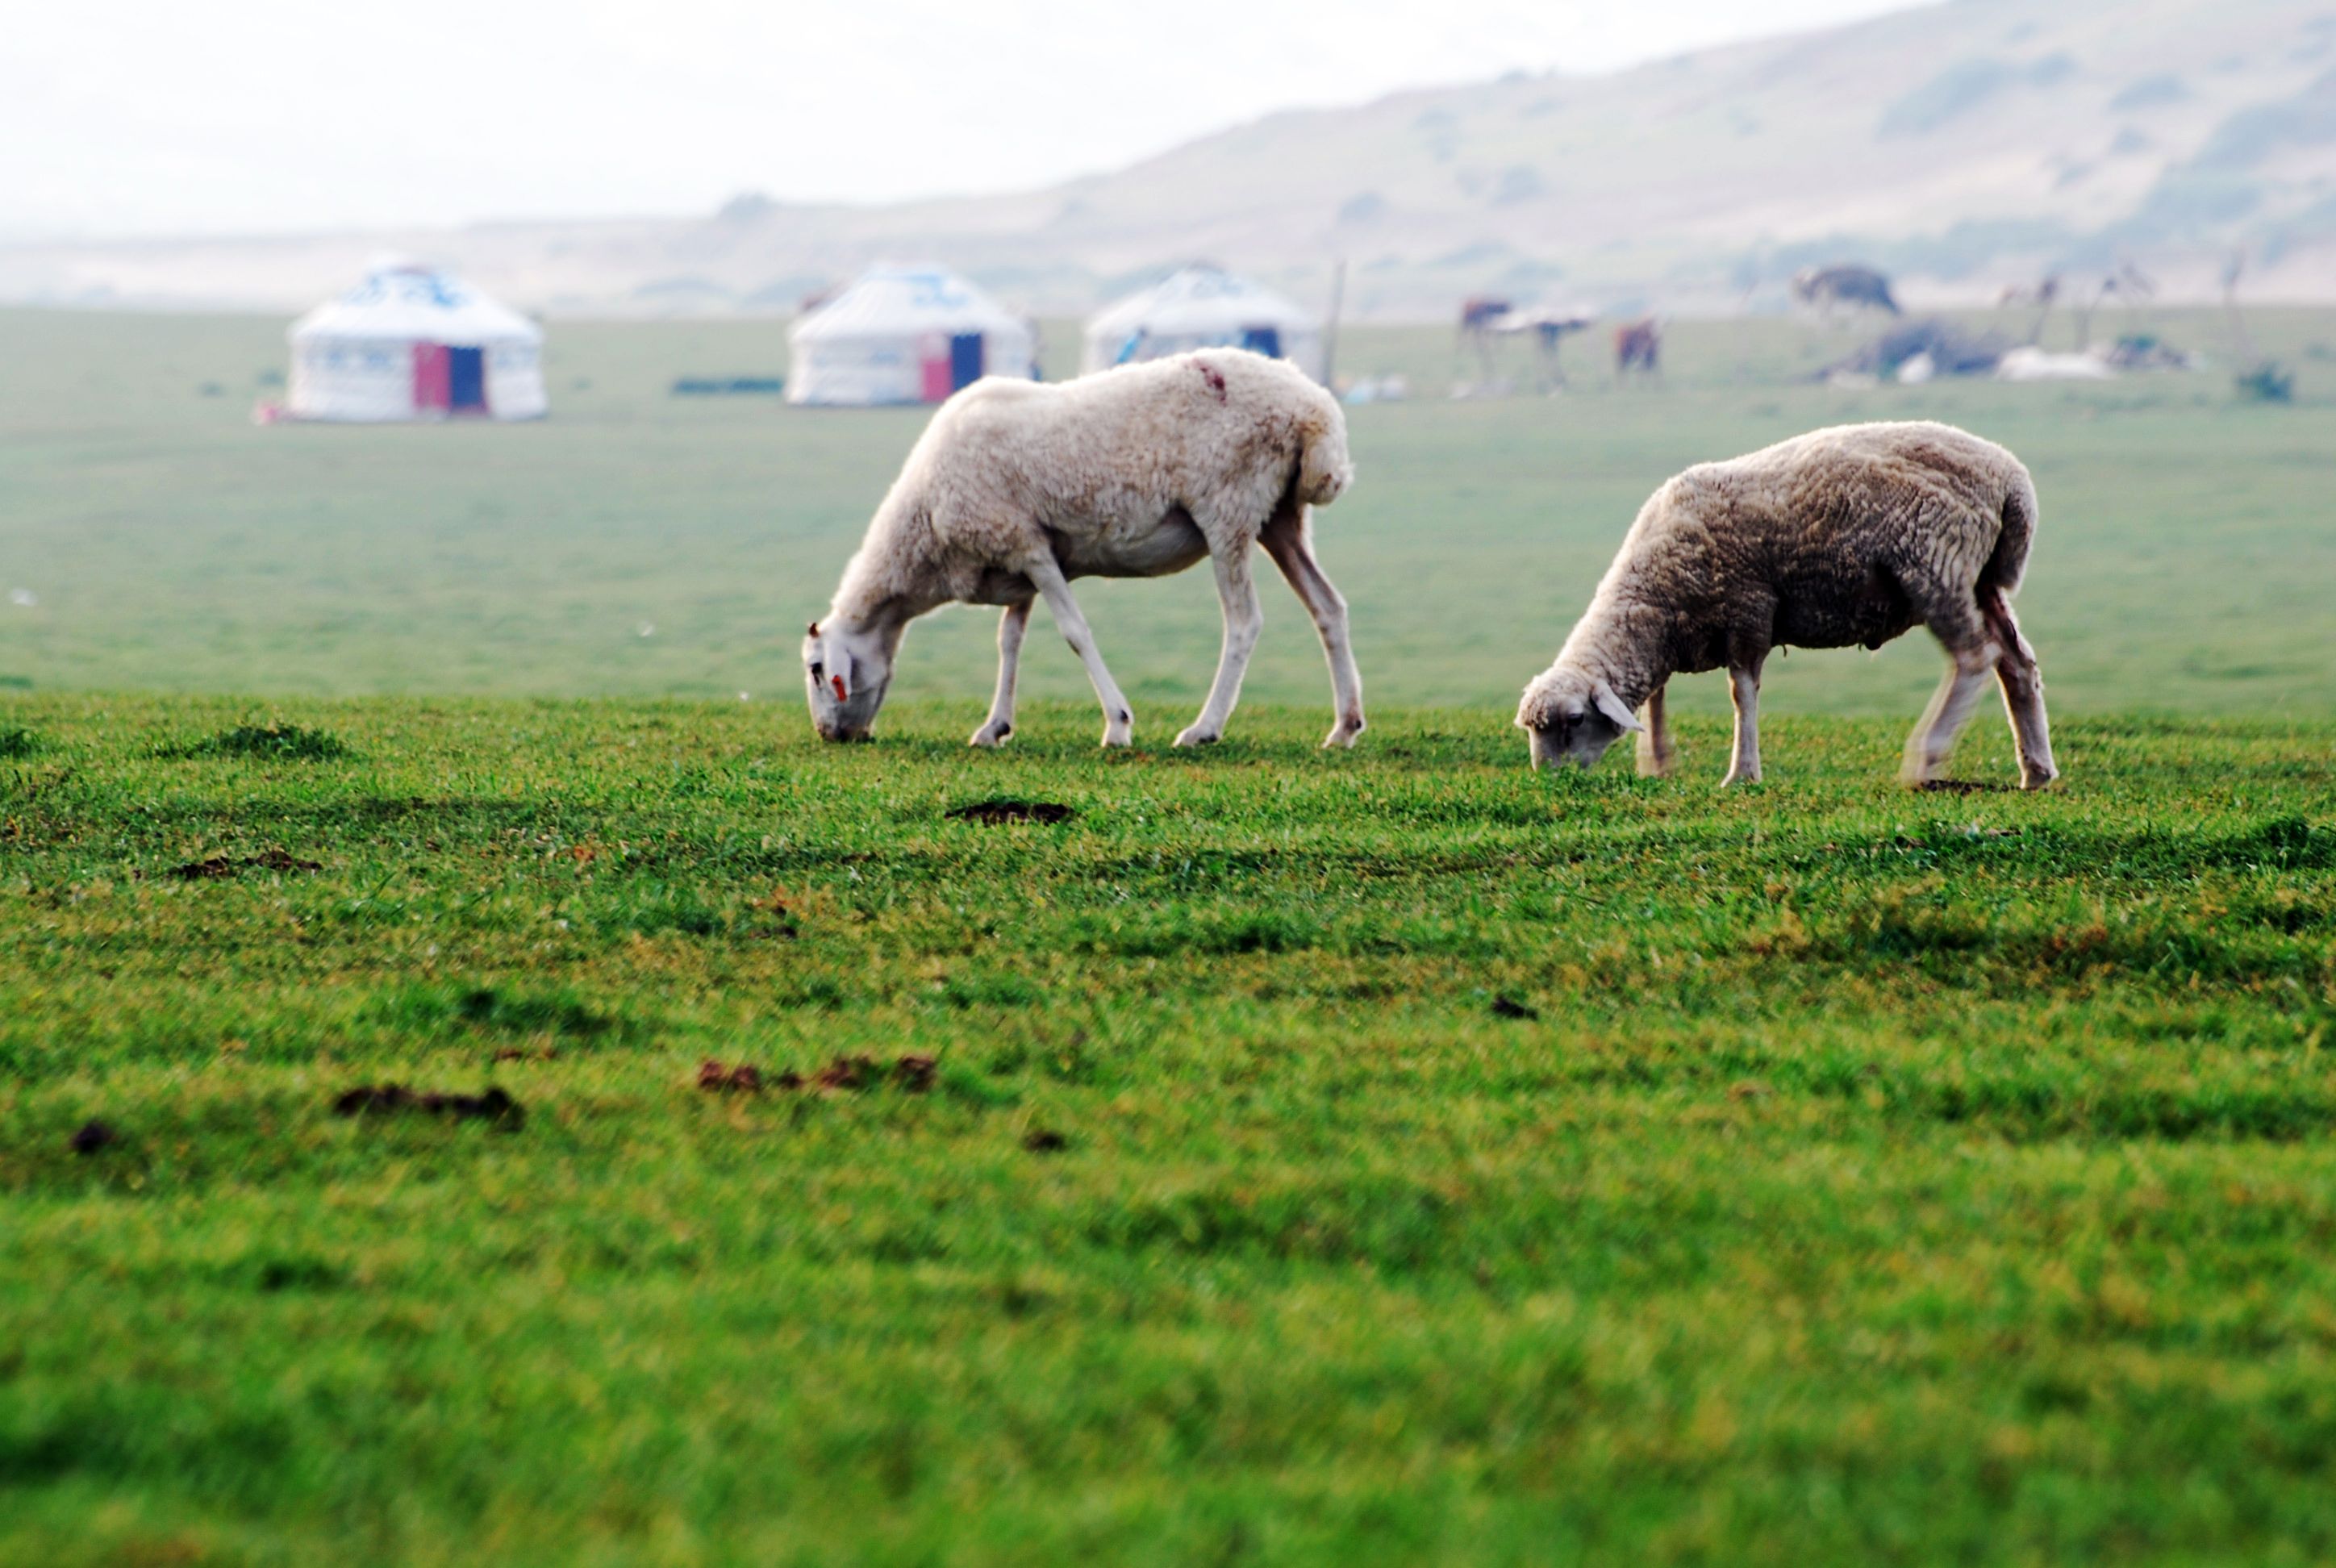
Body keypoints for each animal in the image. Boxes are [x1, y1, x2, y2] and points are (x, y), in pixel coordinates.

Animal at [802, 348, 1363, 750]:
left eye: (816, 670)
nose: (828, 736)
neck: (923, 534)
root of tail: (1315, 410)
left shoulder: (1025, 545)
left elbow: (1074, 632)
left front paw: (1117, 725)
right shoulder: (1019, 555)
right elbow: (1009, 641)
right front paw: (994, 727)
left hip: (1229, 510)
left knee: (1244, 623)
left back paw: (1204, 729)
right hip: (1280, 519)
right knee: (1328, 607)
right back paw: (1344, 727)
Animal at [1515, 420, 2058, 790]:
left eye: (1574, 721)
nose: (1550, 781)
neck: (1653, 596)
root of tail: (2011, 481)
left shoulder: (1749, 609)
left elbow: (1742, 694)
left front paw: (1742, 773)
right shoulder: (1674, 631)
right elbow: (1656, 697)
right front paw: (1658, 763)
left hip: (1937, 565)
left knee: (1974, 657)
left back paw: (1927, 756)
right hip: (1979, 578)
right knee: (2016, 662)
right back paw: (2036, 769)